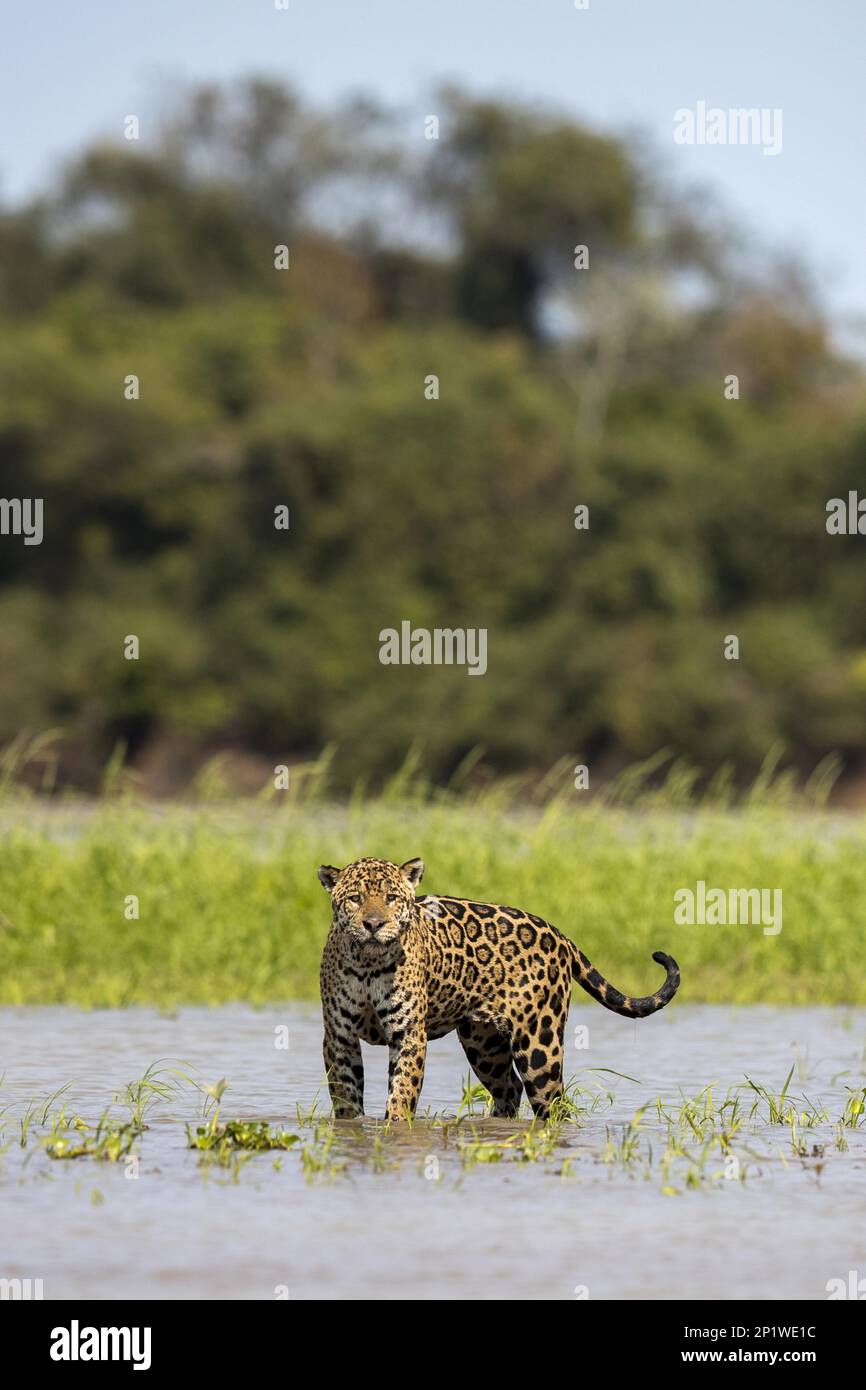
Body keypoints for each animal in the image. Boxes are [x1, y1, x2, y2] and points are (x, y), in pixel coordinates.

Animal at [318, 855, 680, 1122]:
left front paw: (393, 1129)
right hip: (484, 1044)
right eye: (355, 899)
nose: (373, 924)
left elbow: (402, 1092)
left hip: (539, 1047)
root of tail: (558, 933)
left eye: (391, 899)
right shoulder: (339, 1035)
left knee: (555, 1103)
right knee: (509, 1088)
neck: (368, 963)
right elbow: (346, 1096)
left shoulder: (407, 1033)